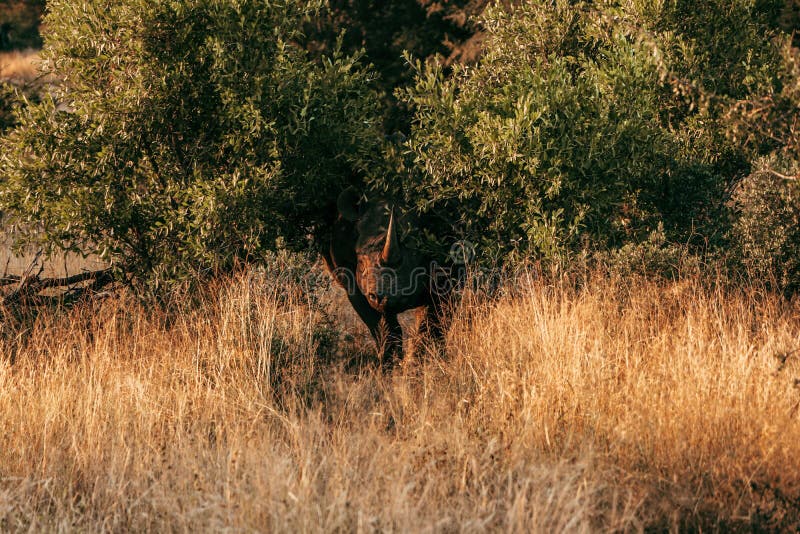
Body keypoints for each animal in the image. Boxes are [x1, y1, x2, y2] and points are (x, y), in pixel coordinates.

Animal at [319, 187, 460, 368]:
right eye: (361, 261)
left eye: (418, 256)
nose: (387, 299)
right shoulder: (351, 280)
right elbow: (379, 322)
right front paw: (389, 364)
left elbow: (434, 320)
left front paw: (420, 364)